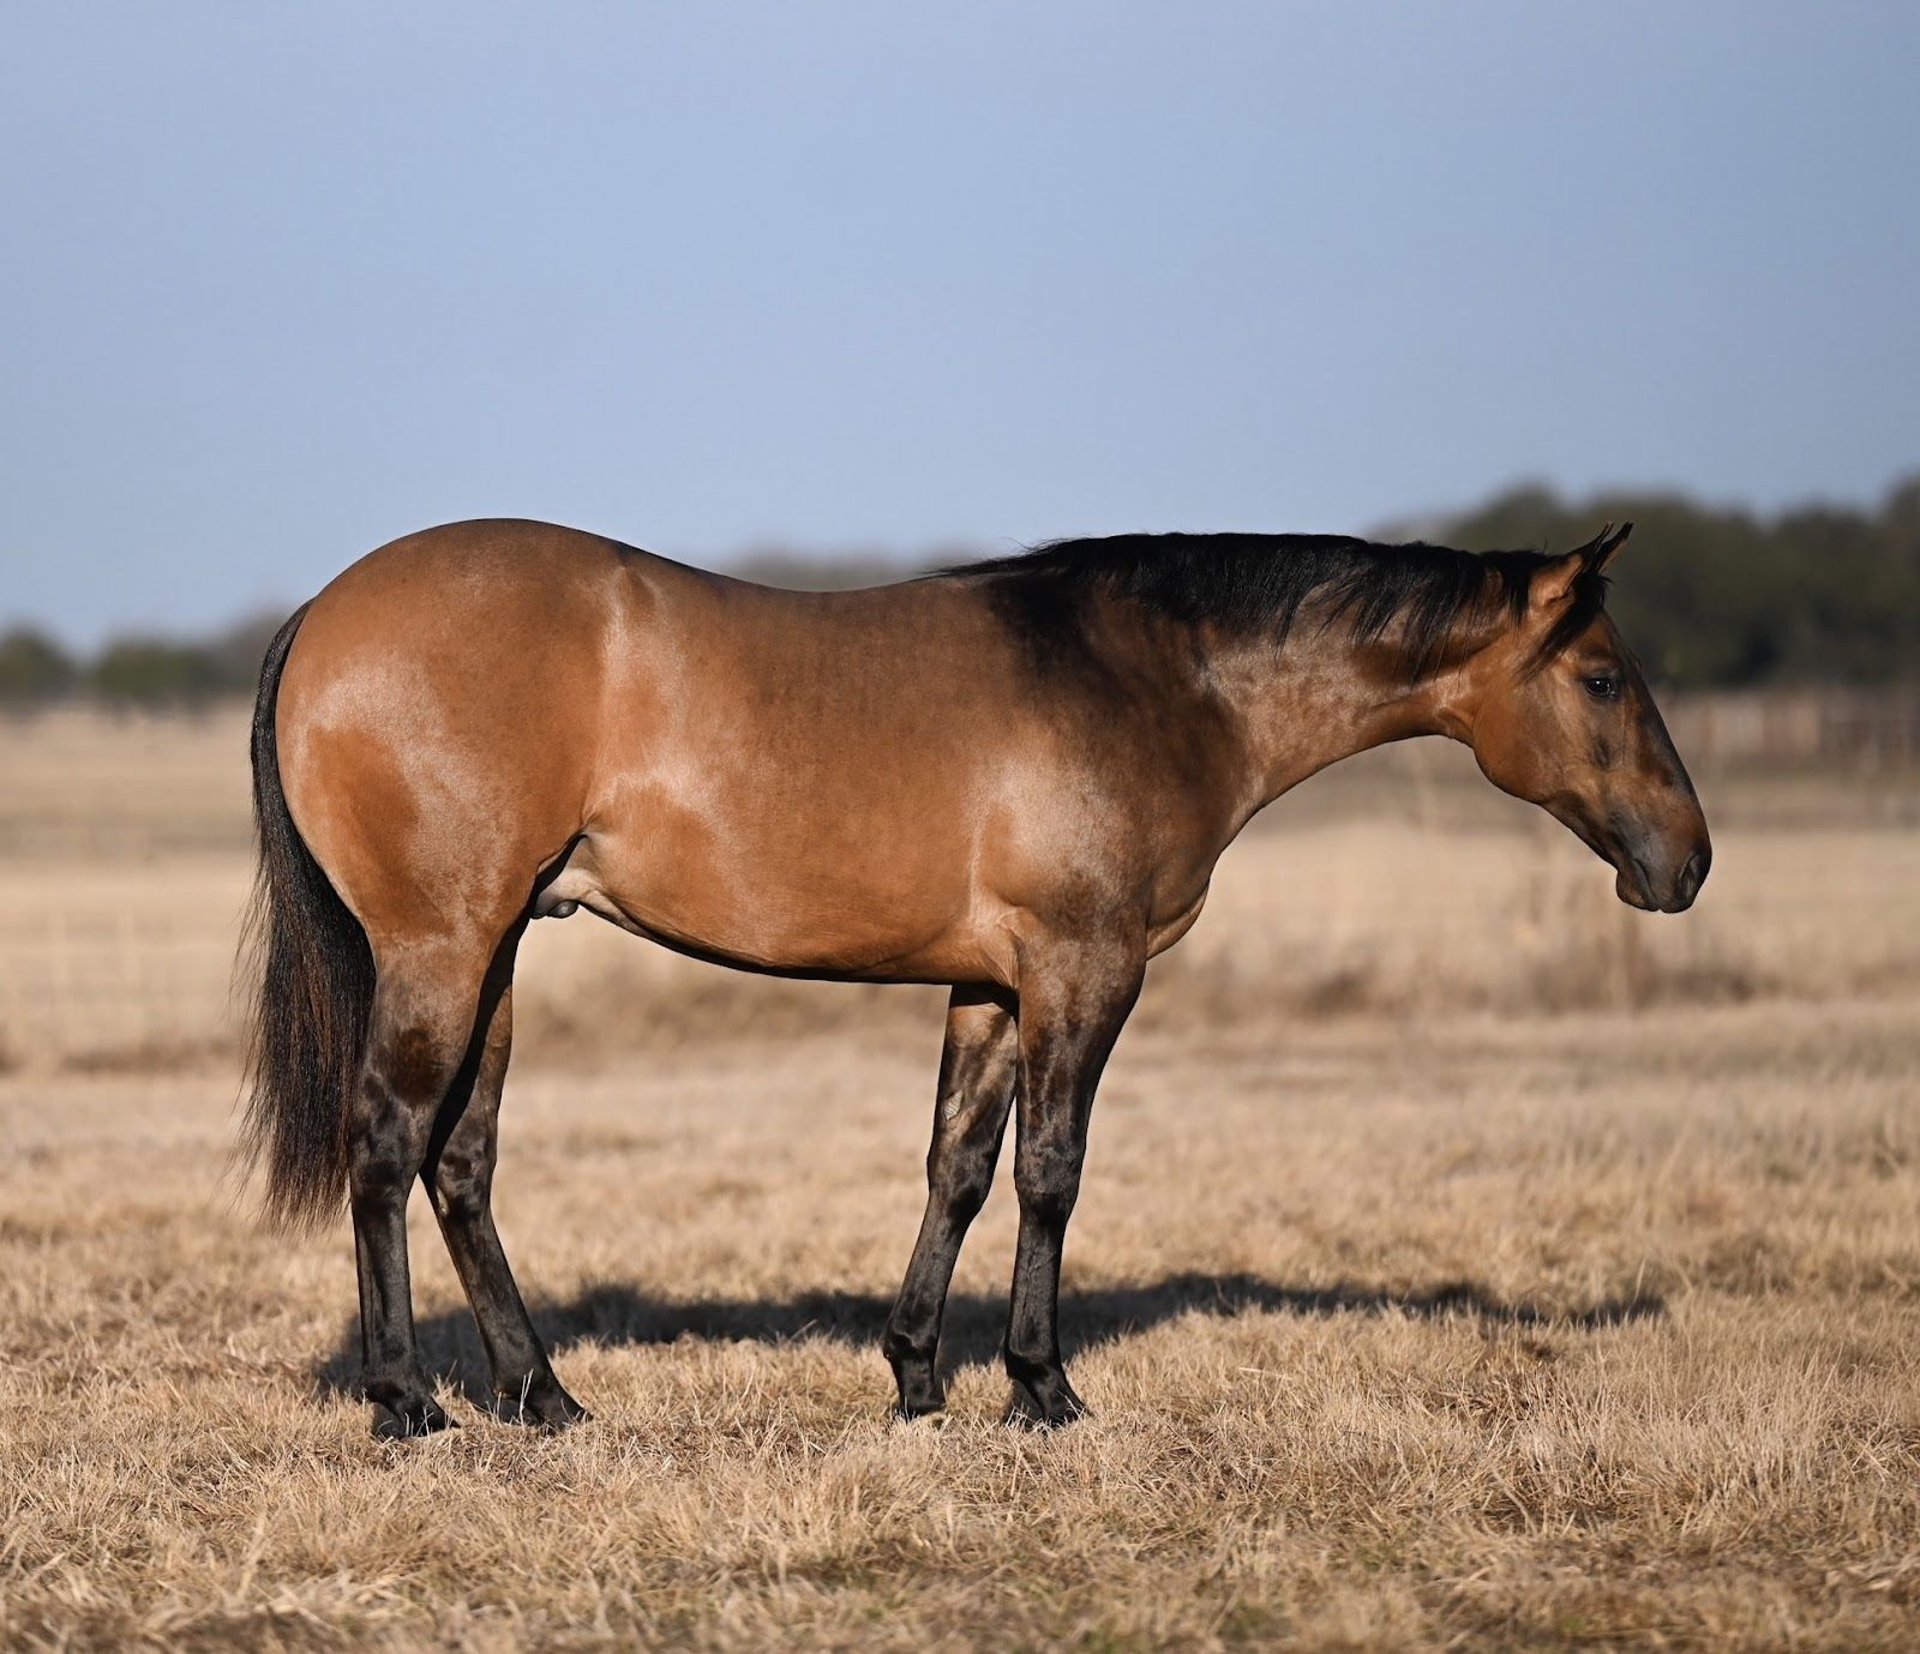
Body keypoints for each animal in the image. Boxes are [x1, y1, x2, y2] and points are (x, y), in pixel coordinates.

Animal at [241, 517, 1709, 1436]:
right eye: (1601, 678)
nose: (1686, 859)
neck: (1155, 680)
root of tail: (322, 611)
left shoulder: (993, 987)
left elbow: (956, 1165)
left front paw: (915, 1377)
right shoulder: (1082, 967)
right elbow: (1050, 1170)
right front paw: (1041, 1386)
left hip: (494, 955)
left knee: (460, 1161)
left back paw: (542, 1395)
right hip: (443, 948)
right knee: (387, 1144)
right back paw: (405, 1400)